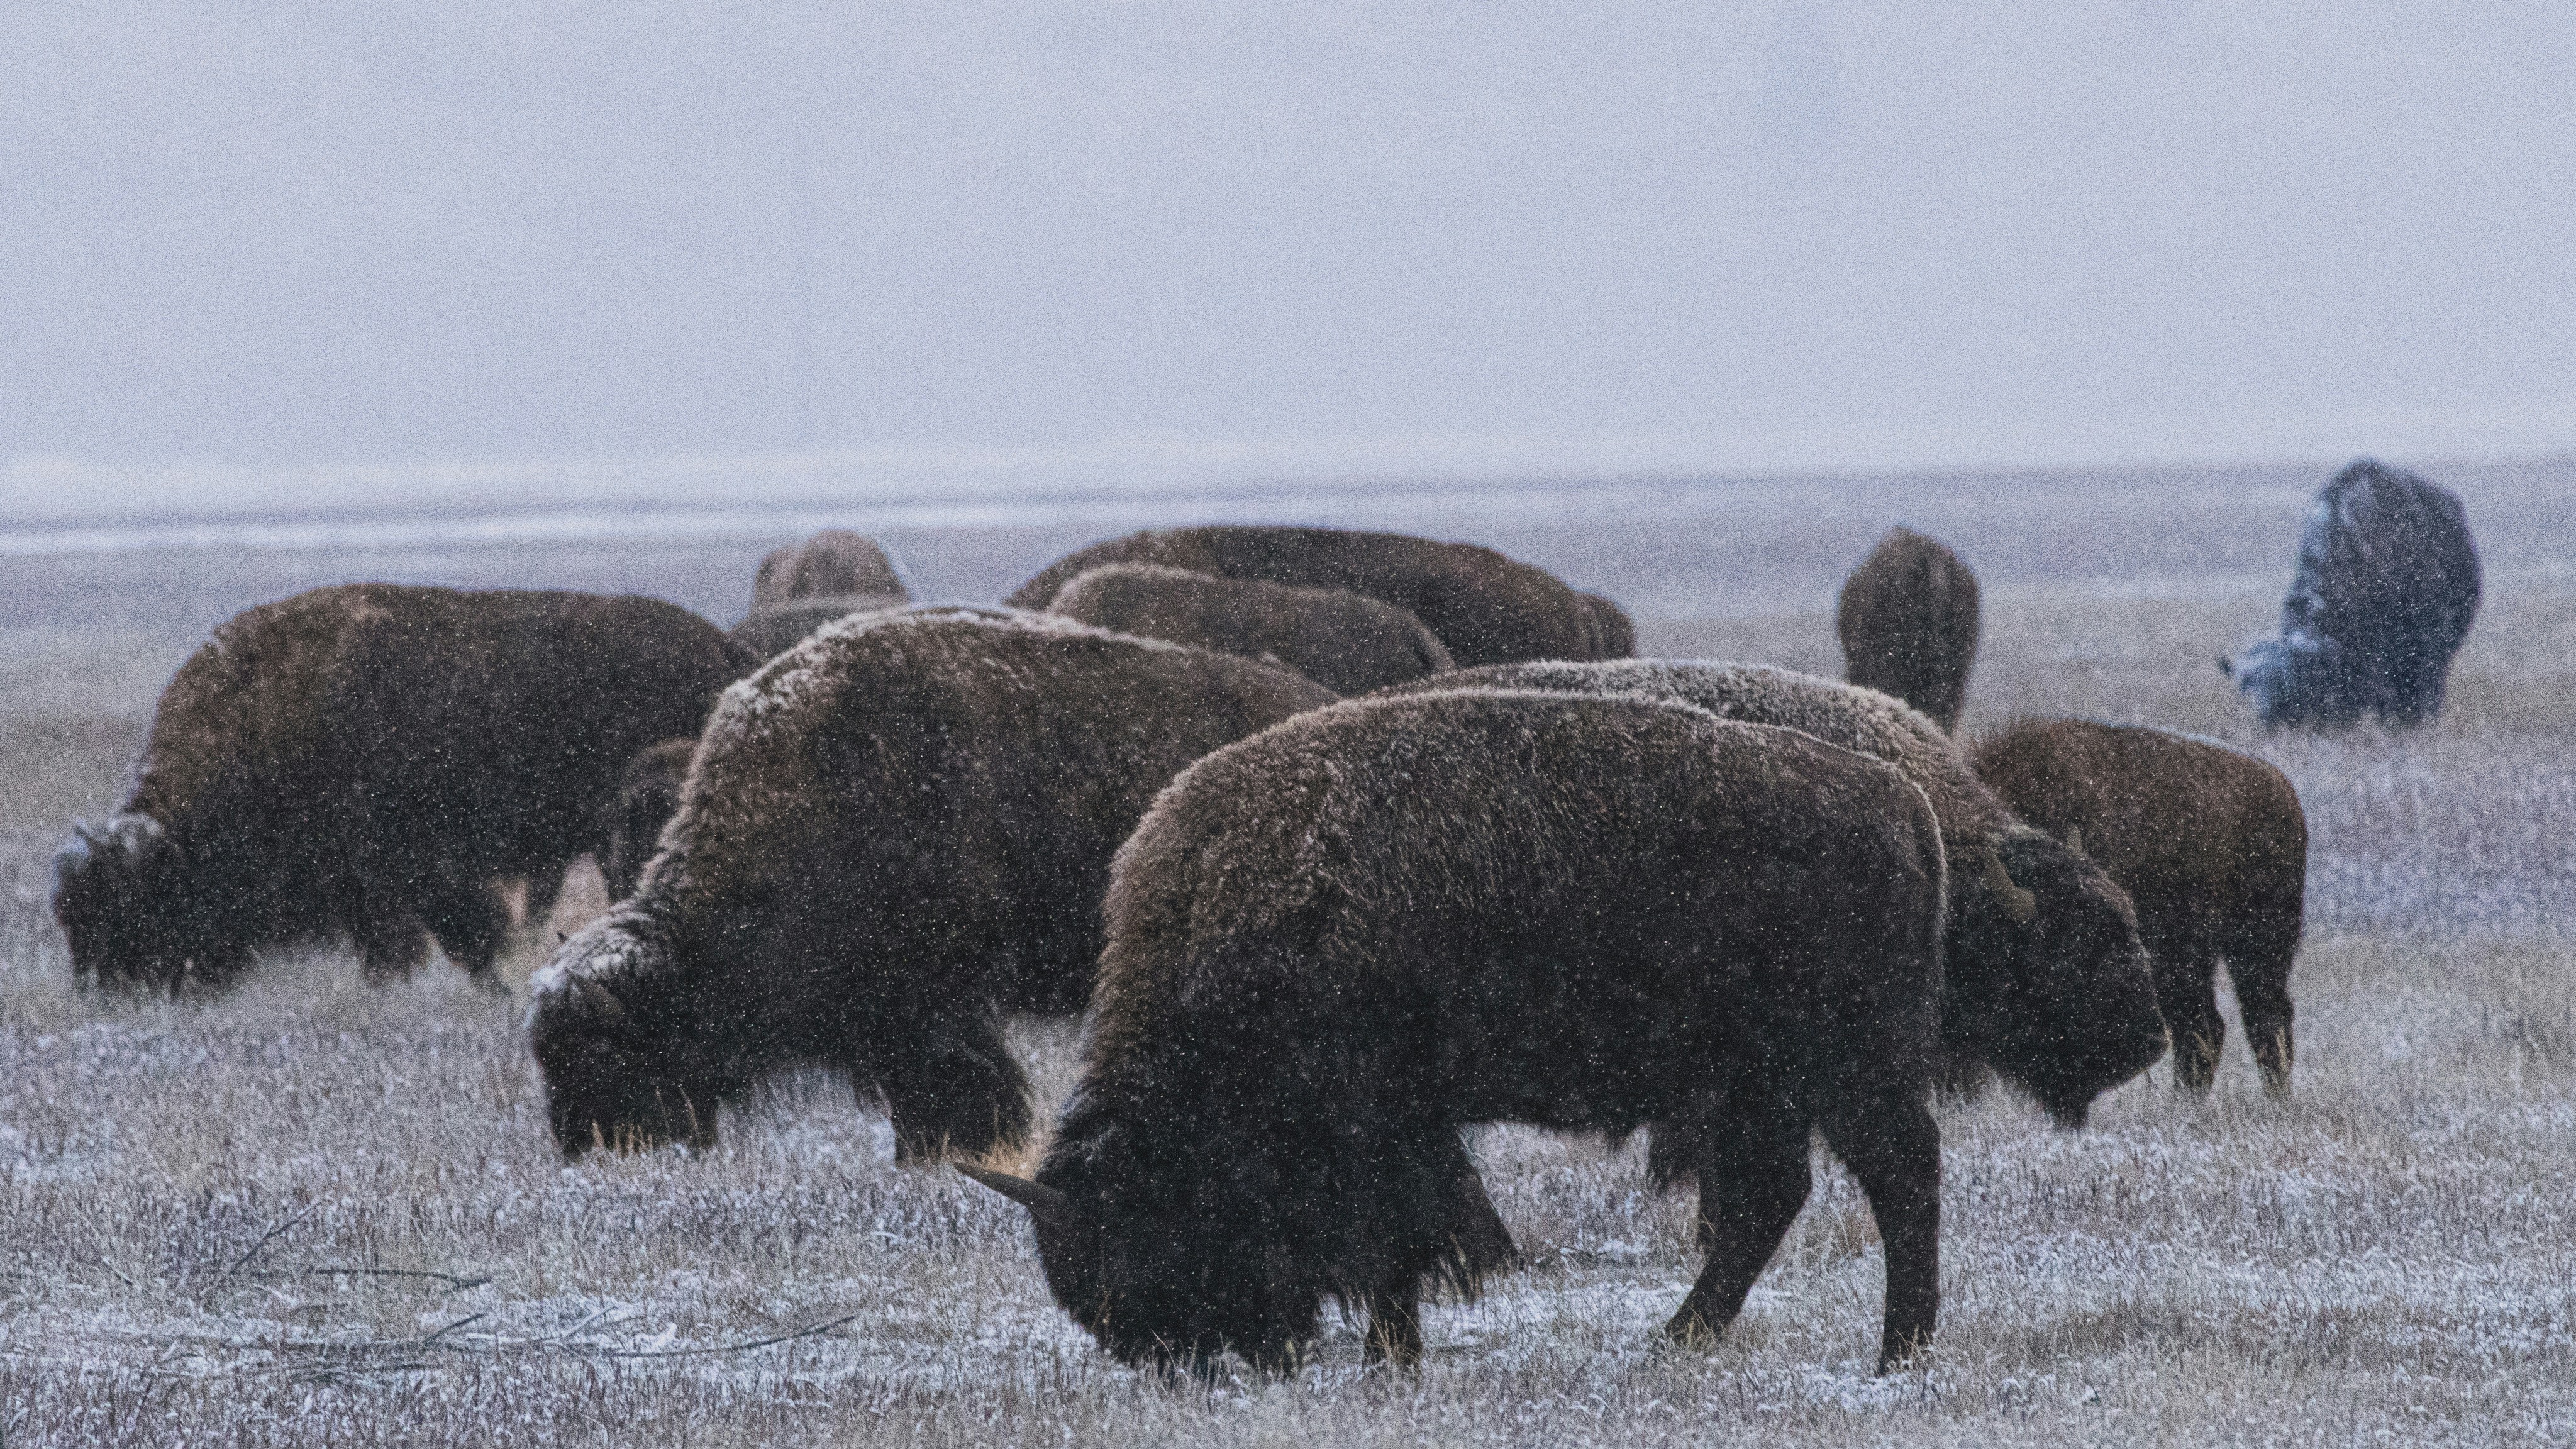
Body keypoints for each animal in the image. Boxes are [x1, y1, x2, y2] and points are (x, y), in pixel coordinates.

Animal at [53, 585, 746, 992]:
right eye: (71, 916)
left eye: (135, 904)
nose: (115, 993)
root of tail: (725, 651)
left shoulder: (406, 879)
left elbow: (447, 941)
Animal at [964, 690, 1952, 1372]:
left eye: (1144, 1235)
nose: (1190, 1364)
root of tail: (1900, 799)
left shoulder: (1385, 1127)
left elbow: (1398, 1243)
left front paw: (1389, 1360)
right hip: (1758, 1083)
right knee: (1768, 1199)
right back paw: (1675, 1342)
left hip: (1845, 1067)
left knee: (1898, 1178)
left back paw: (1896, 1356)